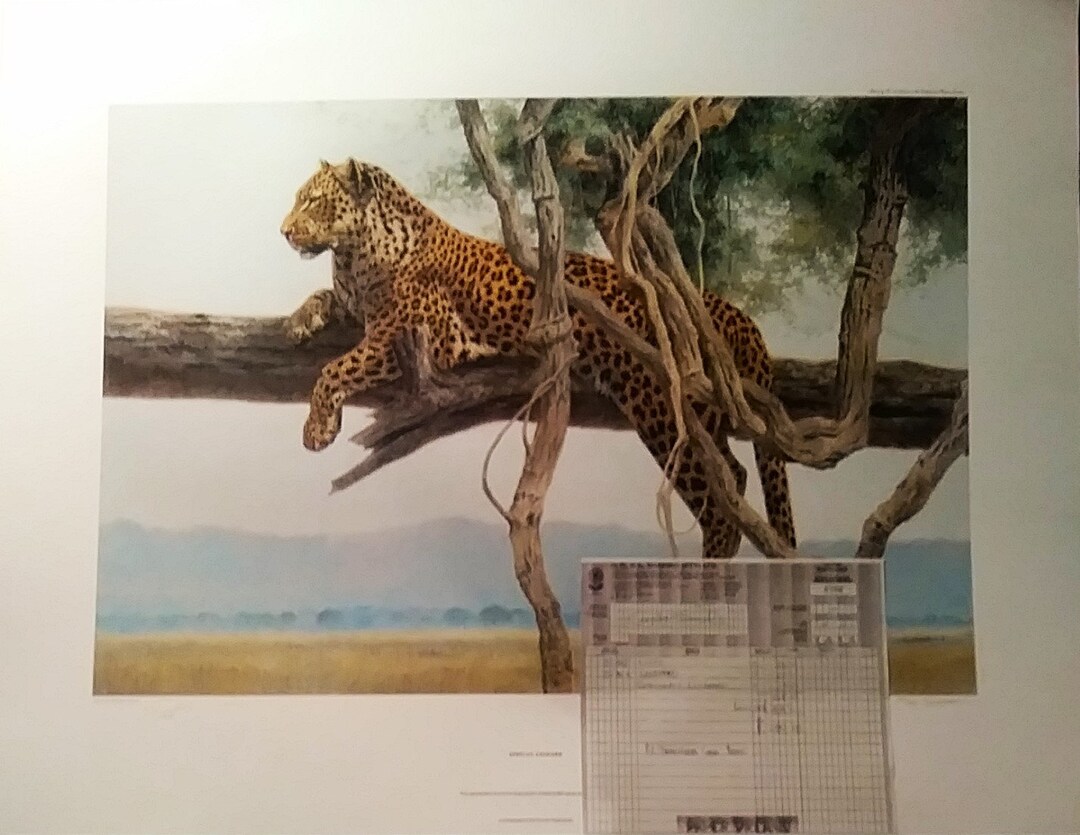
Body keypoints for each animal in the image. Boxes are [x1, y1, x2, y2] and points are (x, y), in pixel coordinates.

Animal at [280, 158, 796, 559]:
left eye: (313, 201)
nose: (284, 232)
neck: (354, 255)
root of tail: (724, 308)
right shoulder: (359, 308)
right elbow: (324, 299)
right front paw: (299, 320)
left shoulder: (416, 335)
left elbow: (335, 367)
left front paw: (317, 429)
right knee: (734, 474)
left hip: (659, 407)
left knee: (720, 496)